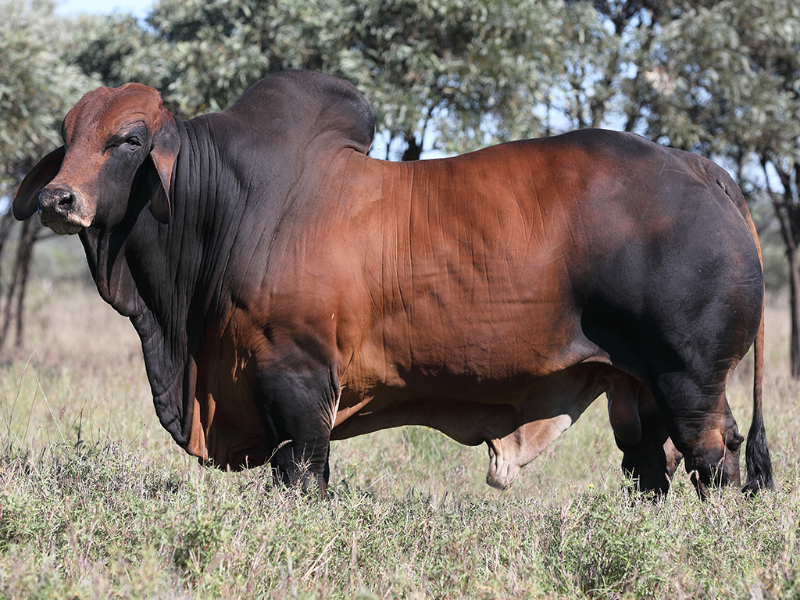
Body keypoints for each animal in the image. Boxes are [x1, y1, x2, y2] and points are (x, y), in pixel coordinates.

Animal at [13, 70, 772, 498]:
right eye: (69, 137)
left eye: (130, 140)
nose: (57, 199)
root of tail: (702, 169)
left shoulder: (297, 385)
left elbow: (305, 481)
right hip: (633, 390)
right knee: (650, 471)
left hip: (689, 382)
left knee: (717, 460)